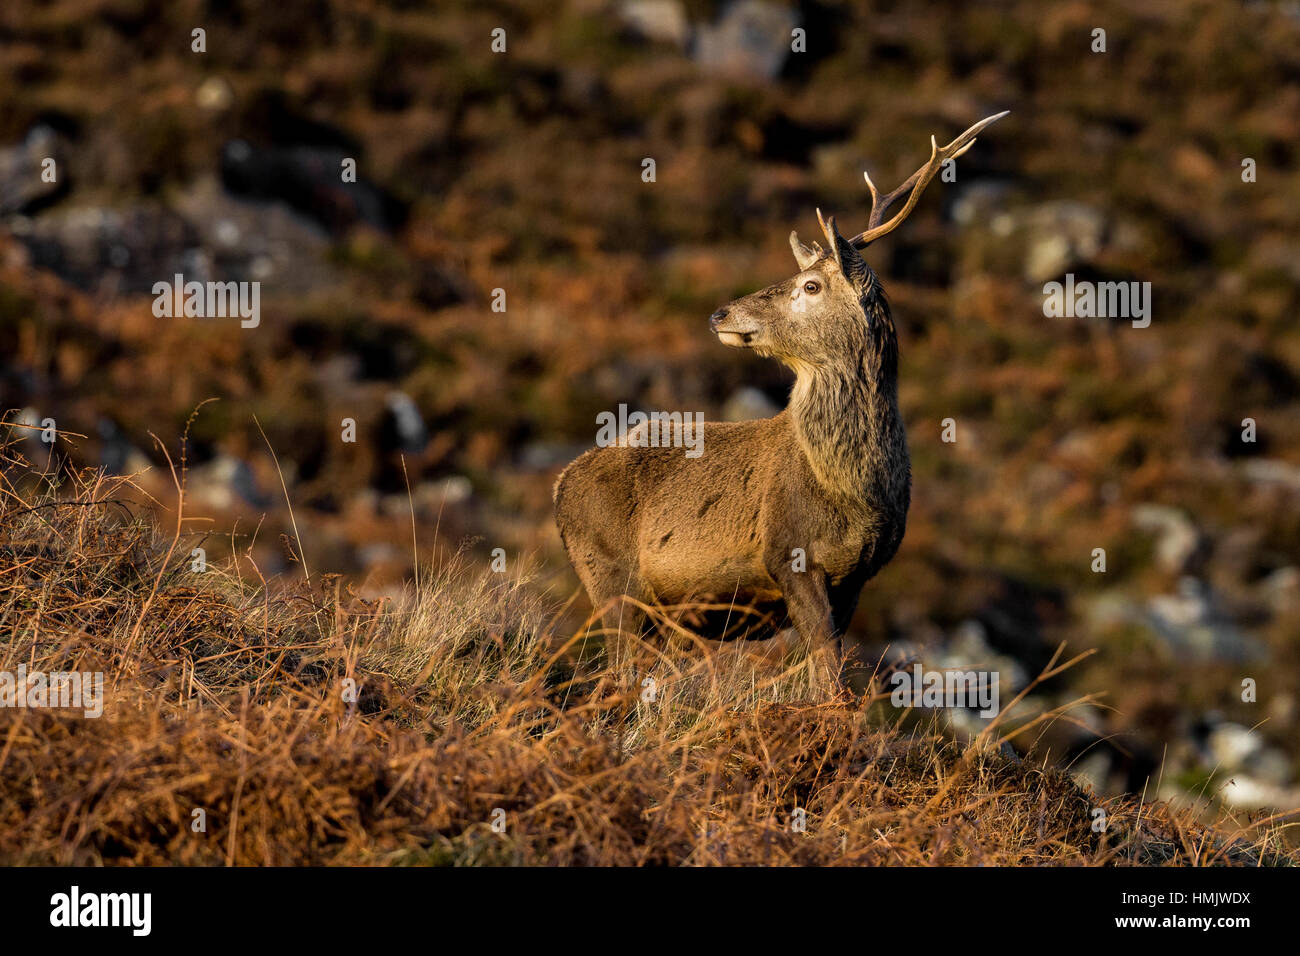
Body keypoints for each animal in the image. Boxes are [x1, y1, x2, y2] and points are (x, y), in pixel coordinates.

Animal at [554, 112, 1008, 682]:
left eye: (810, 286)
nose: (719, 314)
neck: (853, 490)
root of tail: (560, 485)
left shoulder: (855, 579)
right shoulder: (788, 555)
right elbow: (829, 680)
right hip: (612, 579)